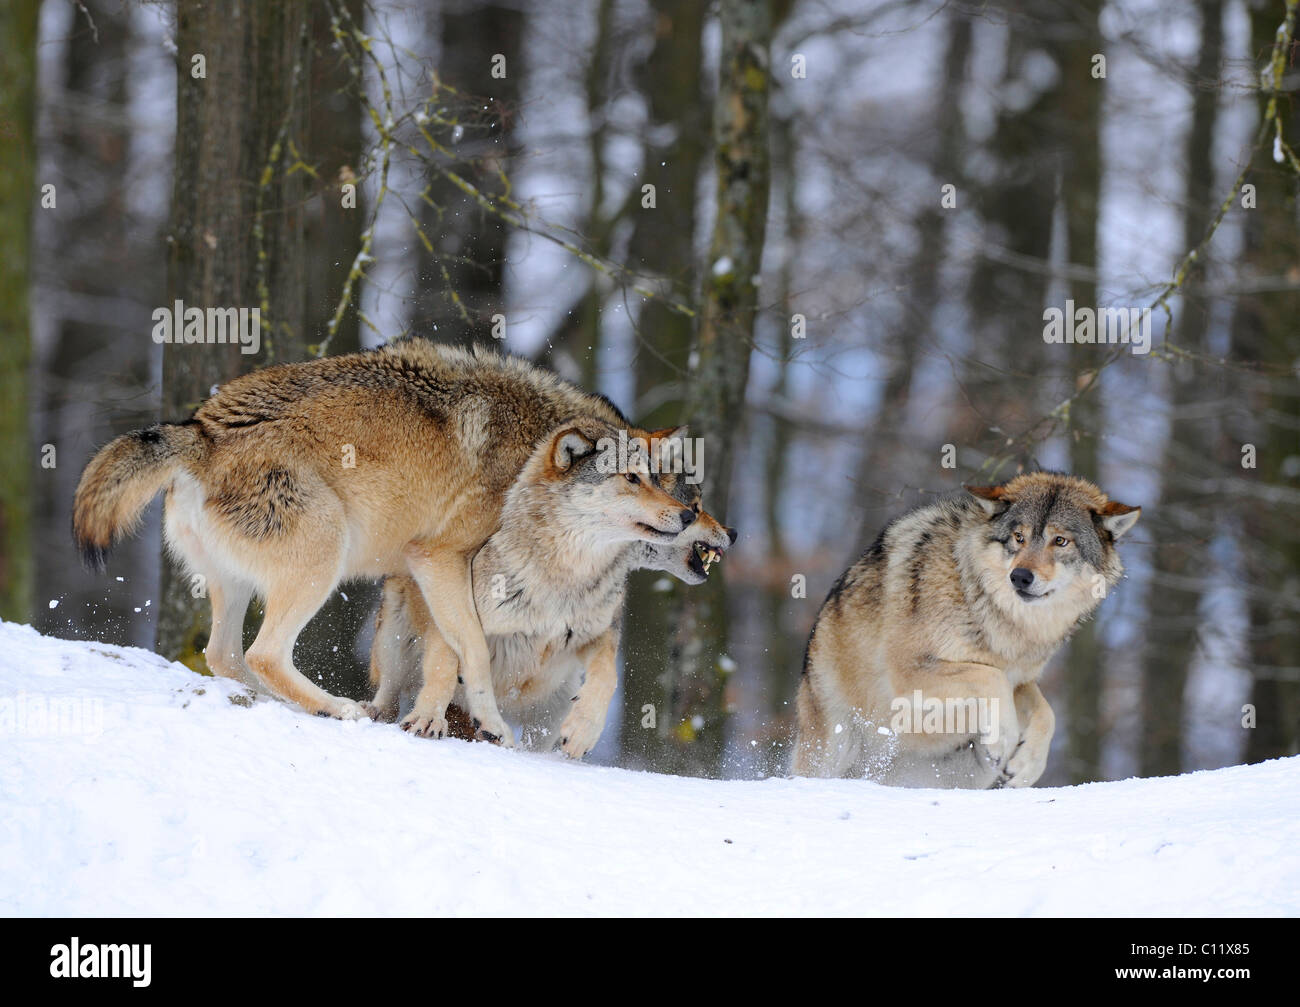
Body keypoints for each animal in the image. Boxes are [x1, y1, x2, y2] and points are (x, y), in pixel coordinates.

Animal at [72, 340, 696, 745]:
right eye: (633, 479)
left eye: (669, 482)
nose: (690, 515)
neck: (524, 457)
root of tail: (200, 432)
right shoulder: (438, 559)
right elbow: (471, 649)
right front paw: (488, 723)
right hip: (325, 553)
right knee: (263, 654)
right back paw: (339, 709)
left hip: (238, 583)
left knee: (224, 656)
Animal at [366, 428, 735, 758]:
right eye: (697, 507)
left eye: (660, 485)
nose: (732, 533)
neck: (565, 575)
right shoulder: (457, 608)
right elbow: (448, 663)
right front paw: (428, 719)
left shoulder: (598, 632)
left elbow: (607, 677)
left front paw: (582, 733)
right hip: (393, 644)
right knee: (388, 697)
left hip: (551, 707)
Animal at [793, 472, 1140, 788]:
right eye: (1019, 537)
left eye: (1060, 541)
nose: (1020, 577)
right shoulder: (910, 672)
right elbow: (991, 678)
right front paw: (1003, 737)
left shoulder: (1019, 679)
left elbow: (1046, 711)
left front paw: (1027, 766)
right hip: (833, 748)